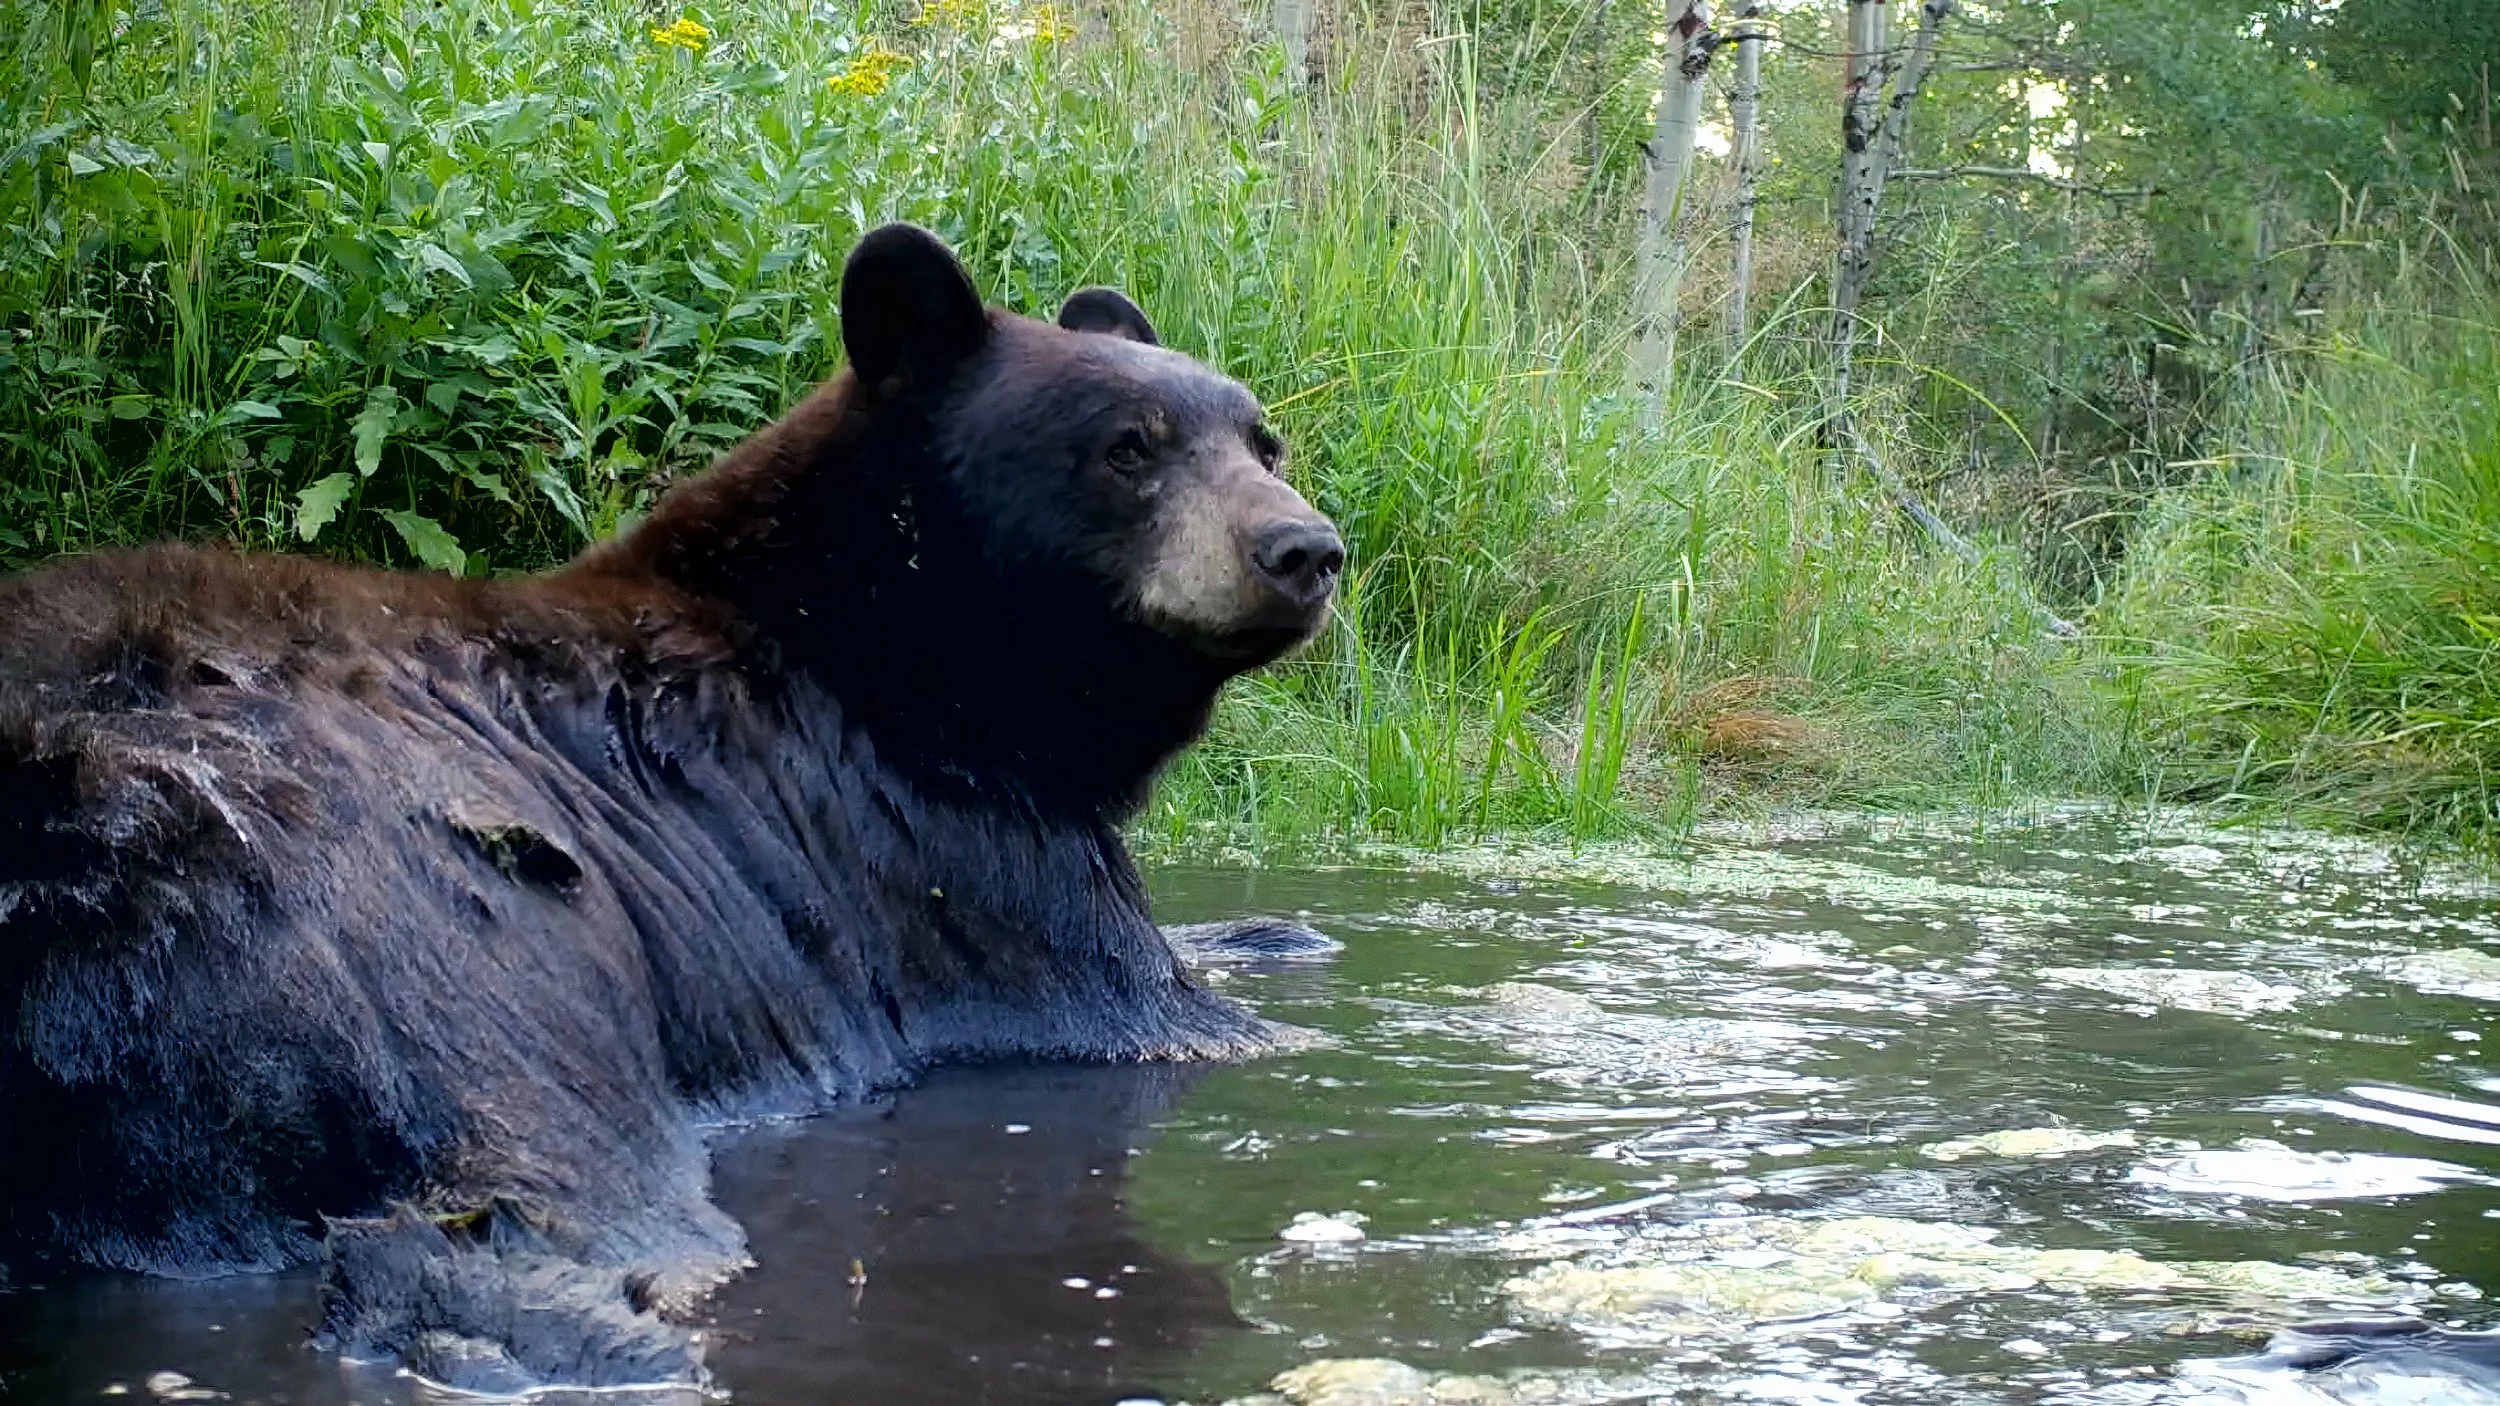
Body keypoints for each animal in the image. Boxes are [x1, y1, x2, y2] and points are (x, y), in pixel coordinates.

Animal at [0, 223, 1343, 1393]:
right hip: (427, 939)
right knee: (539, 1182)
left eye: (1260, 440)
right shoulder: (945, 847)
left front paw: (1283, 928)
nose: (1306, 550)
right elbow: (1148, 994)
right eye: (1129, 444)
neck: (894, 650)